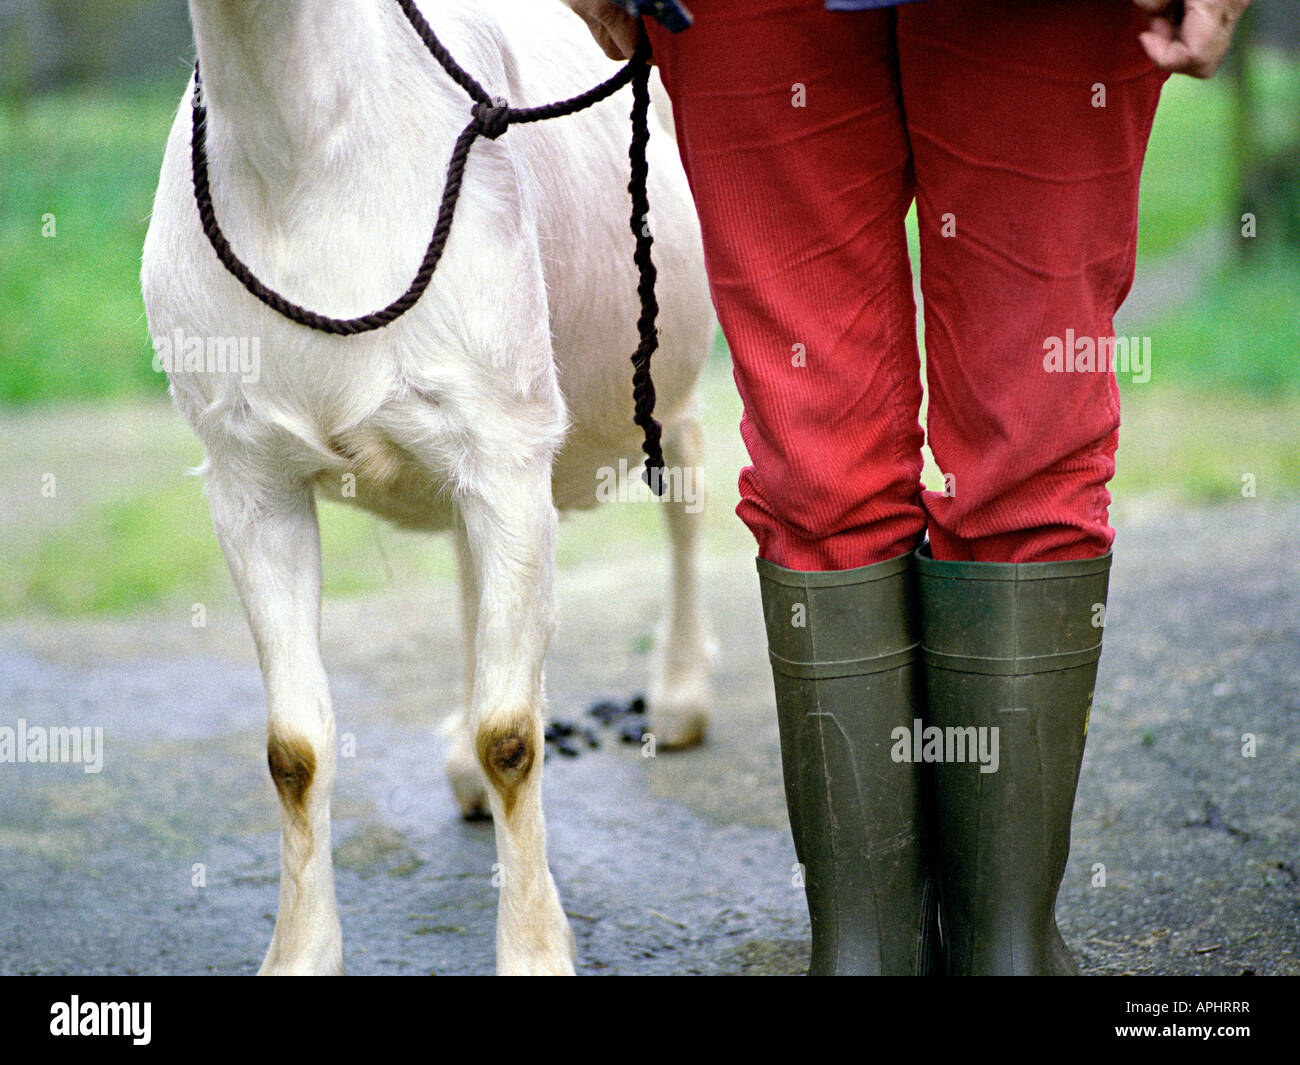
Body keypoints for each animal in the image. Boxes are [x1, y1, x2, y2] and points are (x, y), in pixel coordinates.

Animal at [141, 0, 715, 975]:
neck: (306, 163)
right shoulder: (249, 478)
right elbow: (294, 748)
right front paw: (299, 955)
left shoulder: (507, 452)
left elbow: (511, 735)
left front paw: (534, 952)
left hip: (655, 378)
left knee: (690, 482)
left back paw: (678, 699)